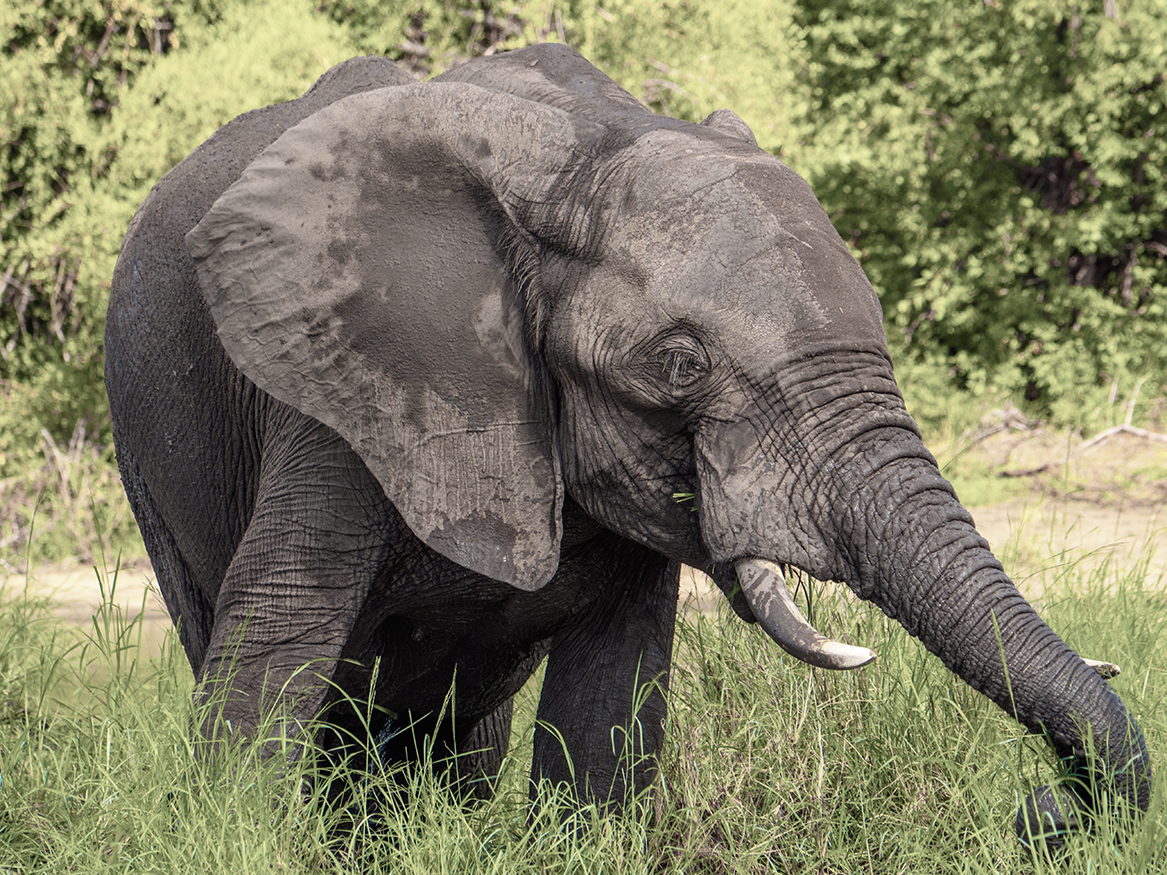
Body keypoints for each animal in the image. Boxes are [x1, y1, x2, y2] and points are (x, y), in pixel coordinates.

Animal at [105, 43, 1150, 850]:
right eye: (680, 363)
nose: (1039, 809)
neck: (584, 143)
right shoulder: (339, 389)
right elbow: (272, 646)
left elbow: (611, 696)